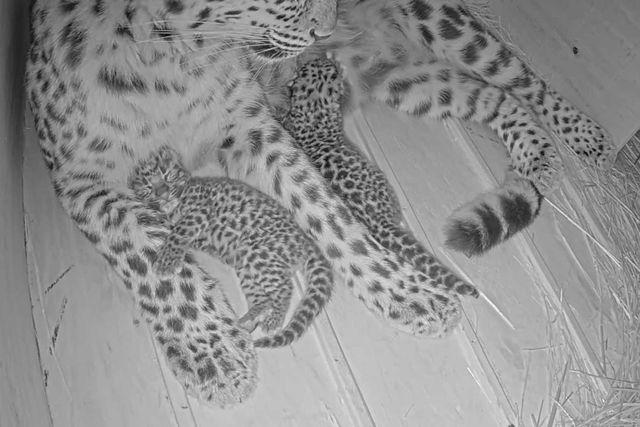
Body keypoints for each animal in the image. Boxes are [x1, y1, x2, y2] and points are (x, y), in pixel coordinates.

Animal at [129, 146, 334, 348]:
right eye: (148, 188)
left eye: (168, 175)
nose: (162, 194)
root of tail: (305, 241)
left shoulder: (198, 211)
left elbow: (176, 234)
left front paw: (165, 264)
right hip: (246, 265)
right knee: (264, 298)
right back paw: (246, 322)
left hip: (258, 253)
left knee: (284, 287)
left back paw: (273, 320)